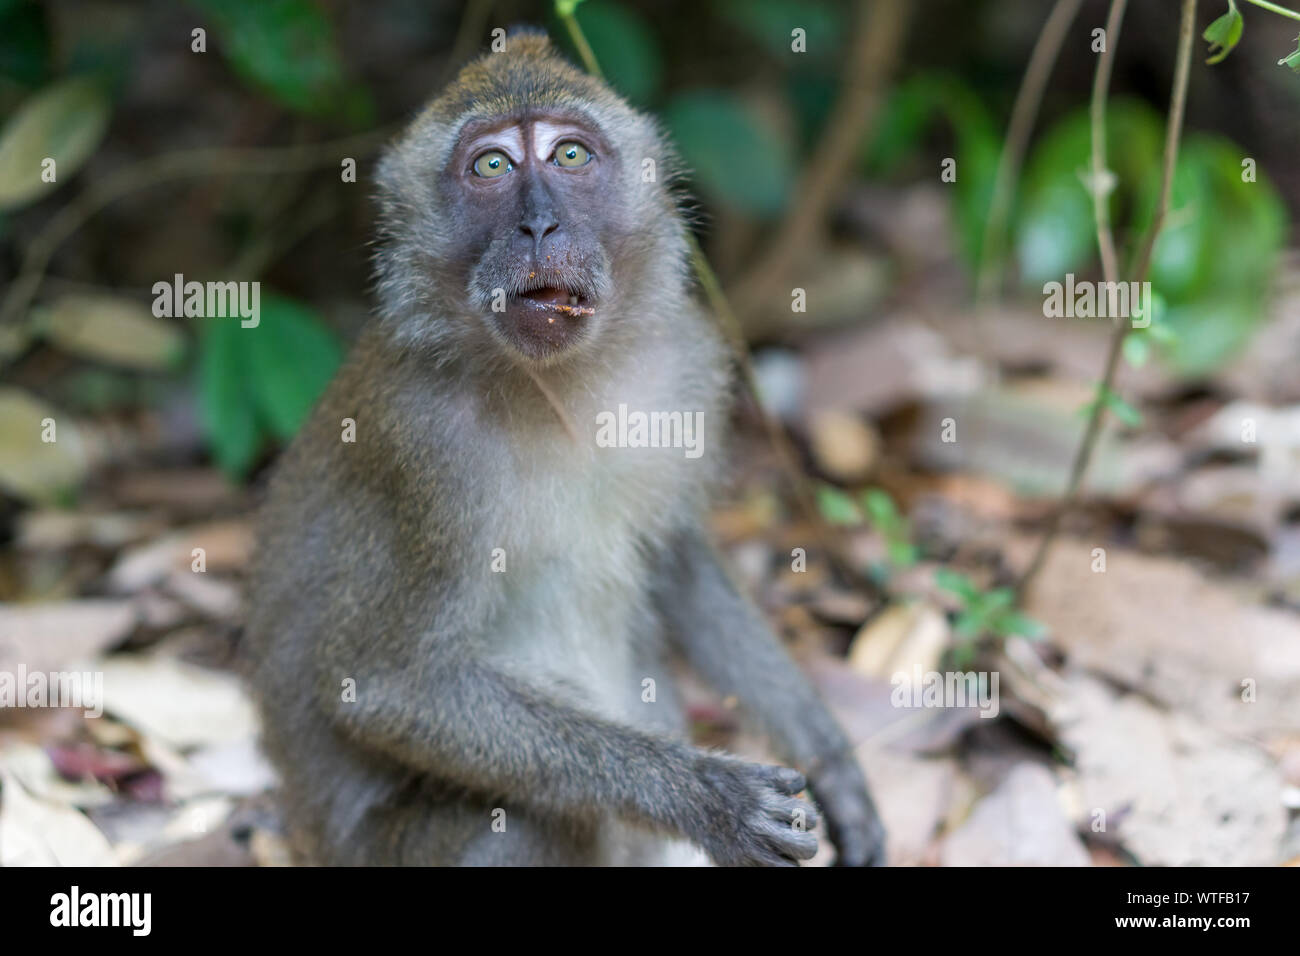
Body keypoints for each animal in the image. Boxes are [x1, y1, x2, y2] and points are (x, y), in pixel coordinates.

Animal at [244, 29, 885, 867]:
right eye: (491, 166)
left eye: (570, 155)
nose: (539, 226)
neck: (563, 387)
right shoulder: (421, 448)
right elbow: (386, 685)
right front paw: (708, 796)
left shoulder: (688, 365)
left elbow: (679, 562)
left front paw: (832, 764)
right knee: (534, 819)